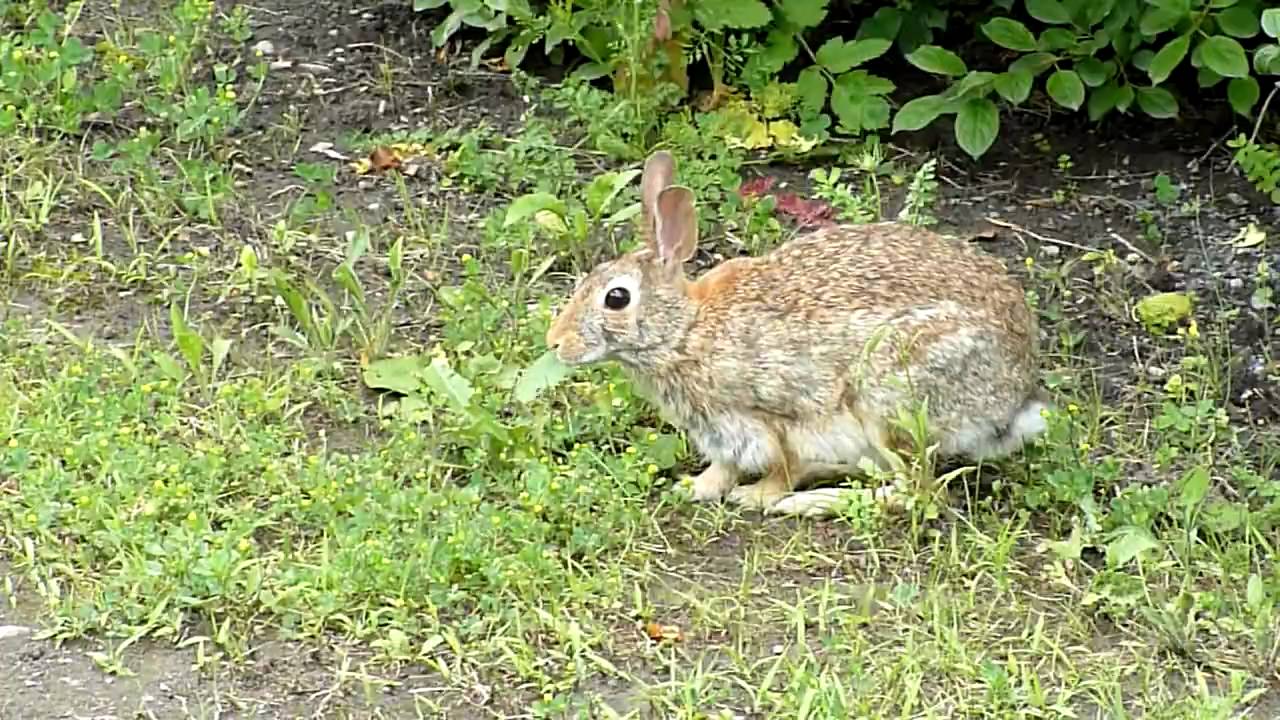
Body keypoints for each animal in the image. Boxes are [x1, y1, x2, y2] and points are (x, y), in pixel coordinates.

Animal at [544, 150, 1050, 517]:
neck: (686, 331)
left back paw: (811, 503)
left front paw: (756, 497)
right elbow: (724, 466)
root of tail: (1014, 397)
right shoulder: (724, 435)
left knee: (917, 489)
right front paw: (696, 487)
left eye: (616, 298)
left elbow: (784, 464)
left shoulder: (777, 415)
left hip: (891, 393)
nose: (555, 342)